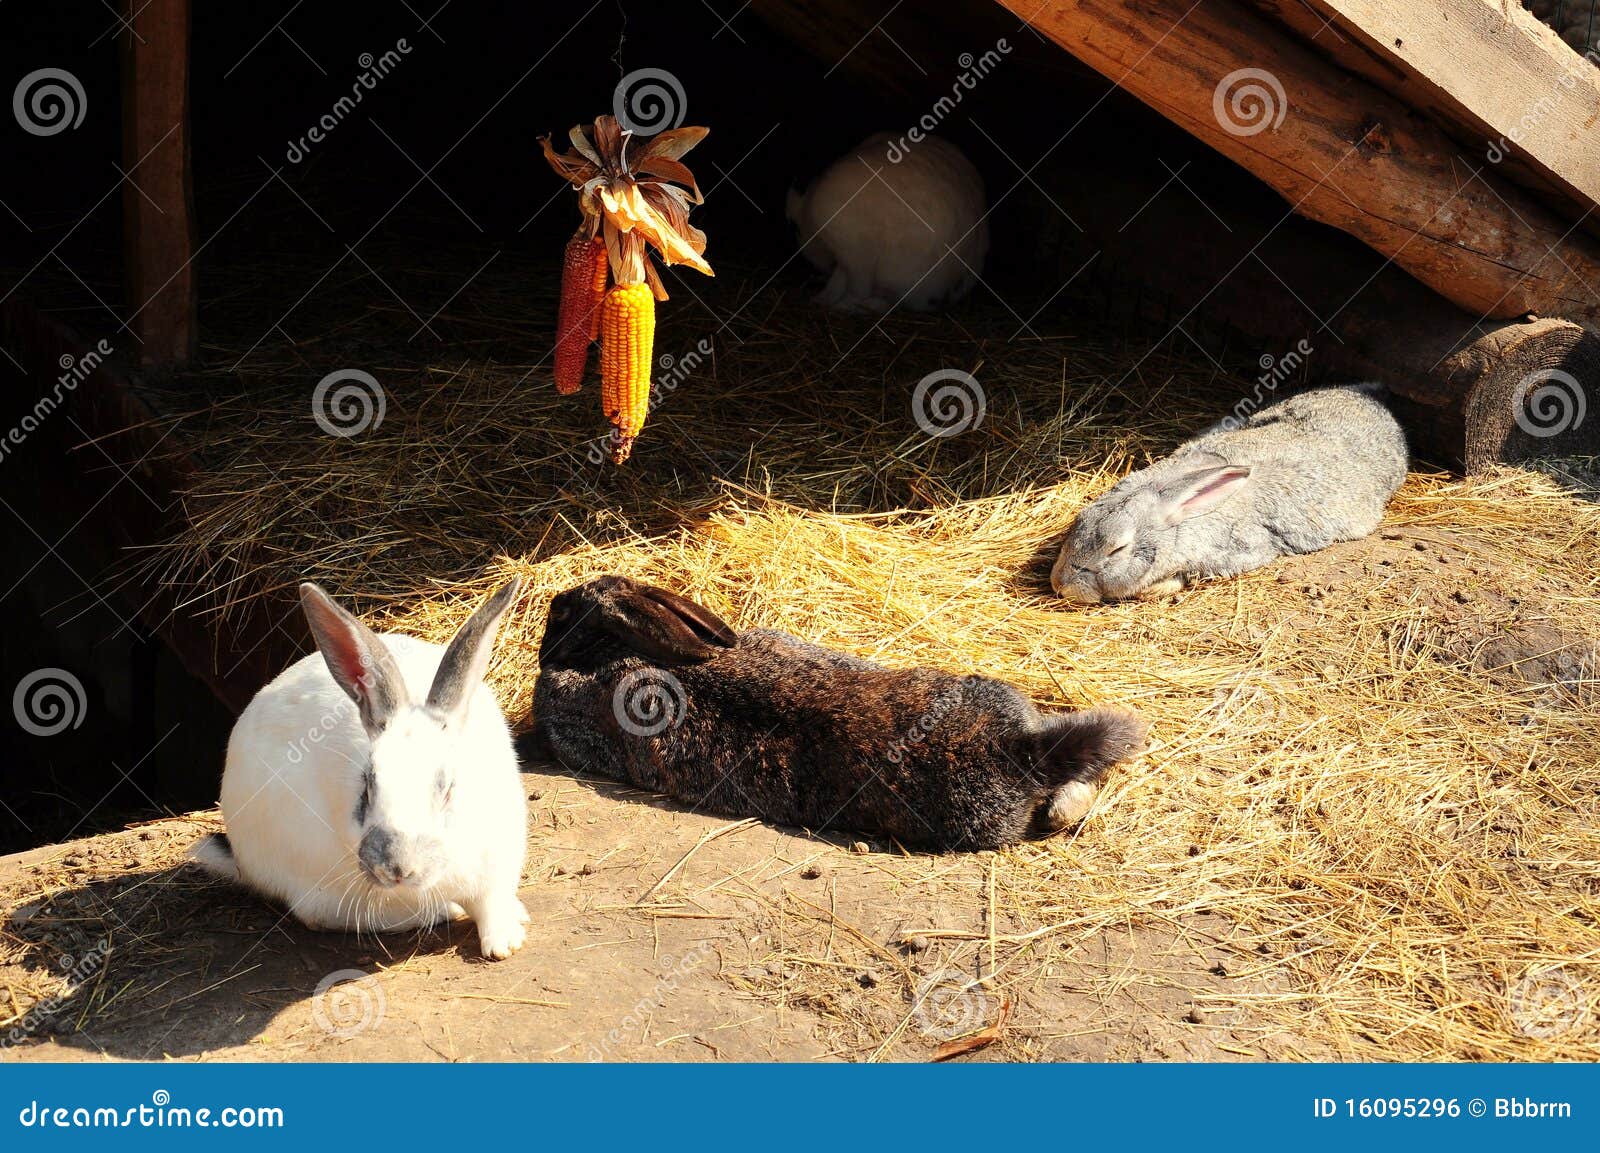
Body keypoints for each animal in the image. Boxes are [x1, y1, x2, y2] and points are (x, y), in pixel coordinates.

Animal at [192, 580, 530, 960]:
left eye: (447, 790)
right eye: (367, 788)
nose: (397, 868)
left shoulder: (498, 862)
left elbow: (491, 903)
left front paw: (504, 942)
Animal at [786, 133, 989, 312]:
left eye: (795, 228)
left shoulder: (856, 253)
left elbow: (856, 286)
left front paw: (838, 303)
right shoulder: (846, 259)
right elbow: (838, 280)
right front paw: (821, 298)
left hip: (901, 278)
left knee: (883, 300)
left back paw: (855, 305)